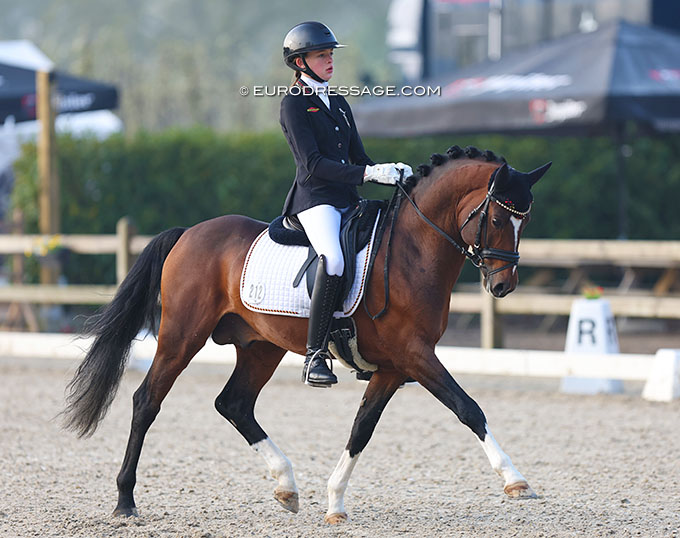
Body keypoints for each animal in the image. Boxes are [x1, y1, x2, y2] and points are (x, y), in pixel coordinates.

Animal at [62, 145, 551, 524]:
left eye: (525, 221)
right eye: (497, 219)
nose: (503, 286)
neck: (412, 251)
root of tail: (189, 233)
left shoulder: (394, 367)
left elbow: (362, 428)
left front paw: (334, 503)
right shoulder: (416, 355)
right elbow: (468, 408)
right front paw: (516, 481)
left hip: (260, 346)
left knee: (233, 404)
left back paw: (286, 486)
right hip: (182, 336)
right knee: (147, 400)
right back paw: (125, 502)